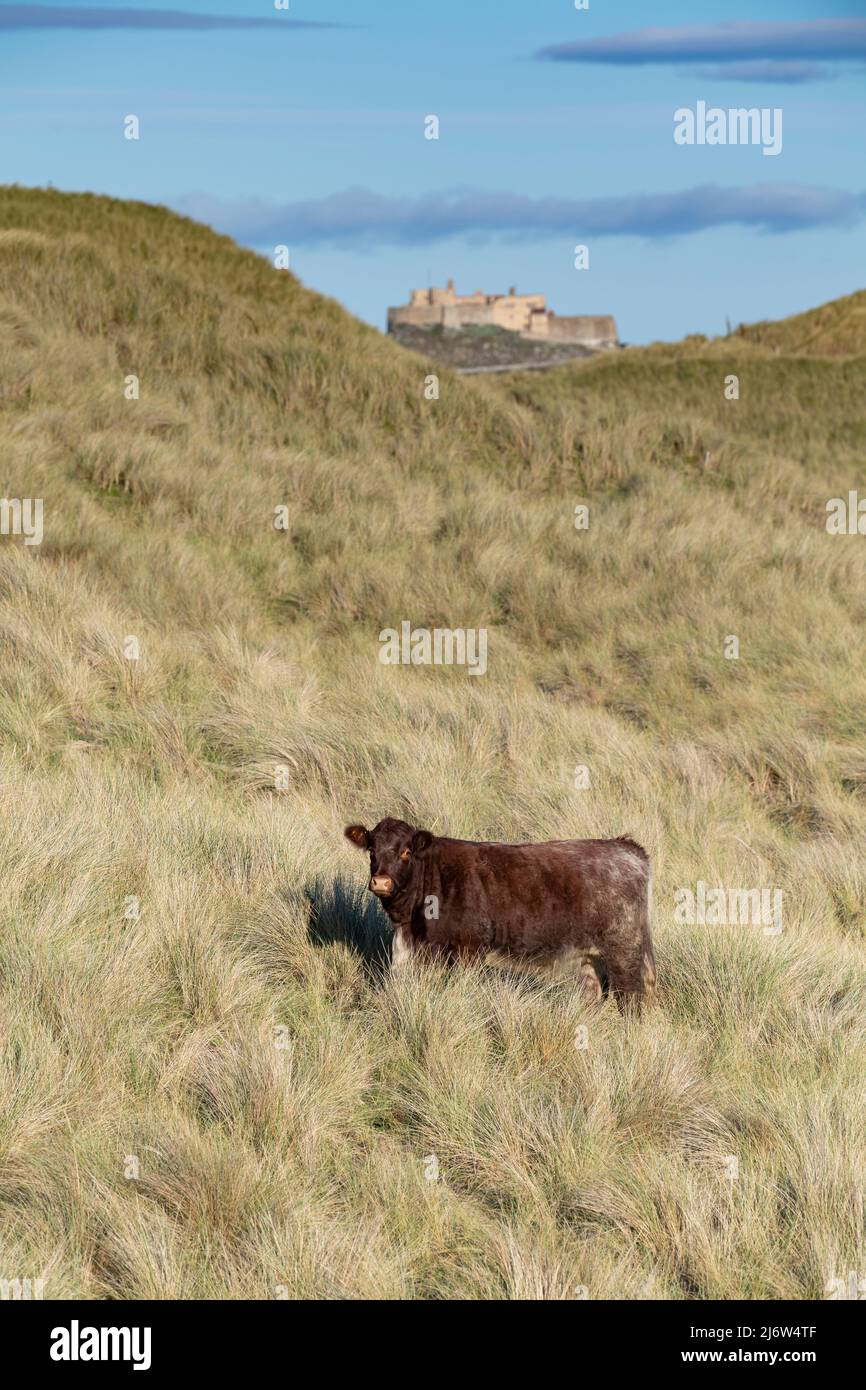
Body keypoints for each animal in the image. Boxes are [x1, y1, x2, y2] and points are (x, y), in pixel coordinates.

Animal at [344, 818, 656, 1009]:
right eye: (371, 850)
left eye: (406, 852)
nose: (381, 882)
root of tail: (626, 846)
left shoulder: (469, 951)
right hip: (589, 957)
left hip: (624, 952)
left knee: (631, 1000)